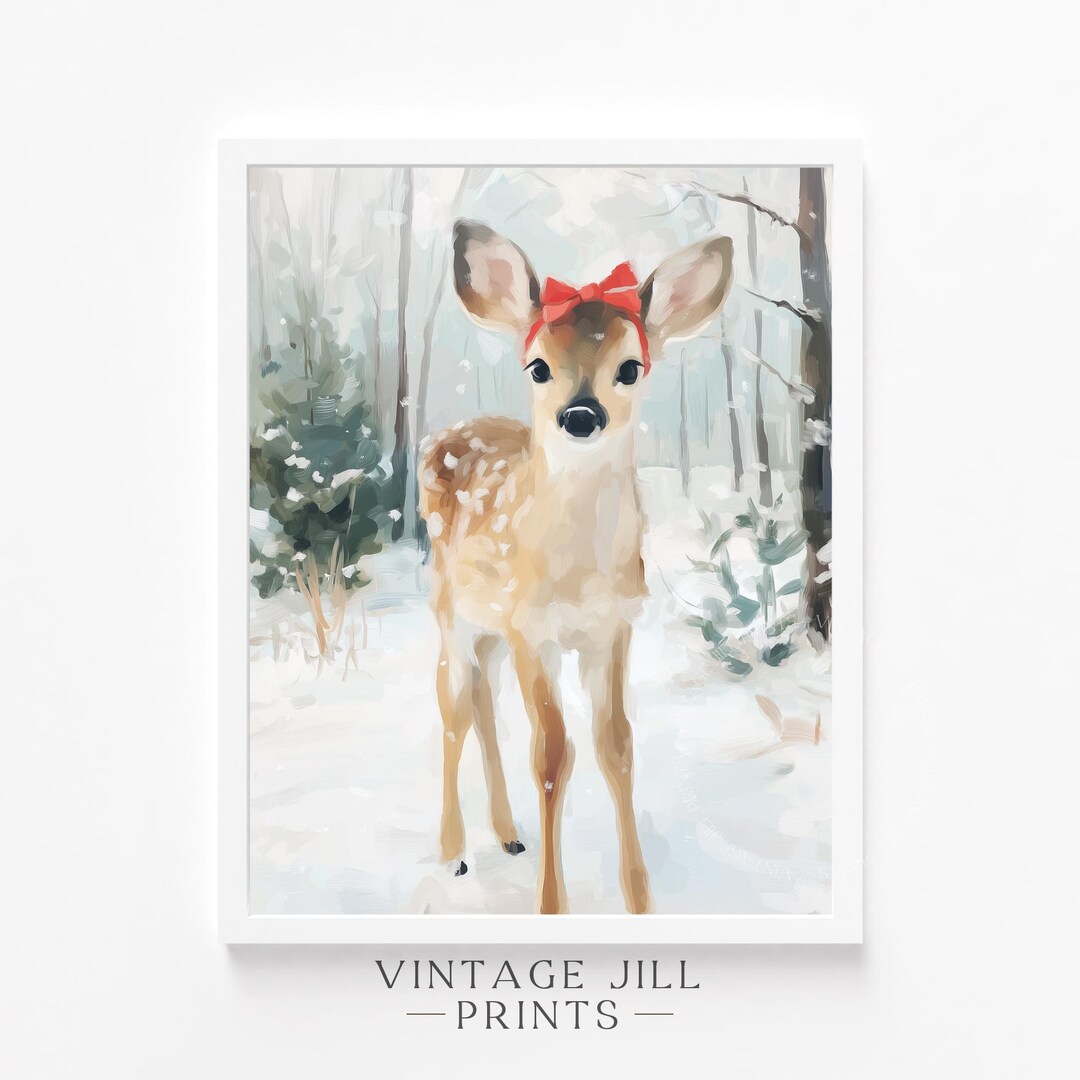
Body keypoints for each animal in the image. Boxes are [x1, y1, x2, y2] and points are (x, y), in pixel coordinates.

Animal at [418, 220, 735, 914]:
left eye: (631, 366)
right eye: (538, 366)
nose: (581, 414)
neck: (580, 574)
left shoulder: (610, 629)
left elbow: (615, 746)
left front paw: (640, 901)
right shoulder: (535, 630)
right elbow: (551, 757)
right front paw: (551, 907)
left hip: (495, 627)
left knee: (483, 699)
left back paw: (508, 835)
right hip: (452, 610)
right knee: (453, 709)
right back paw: (453, 852)